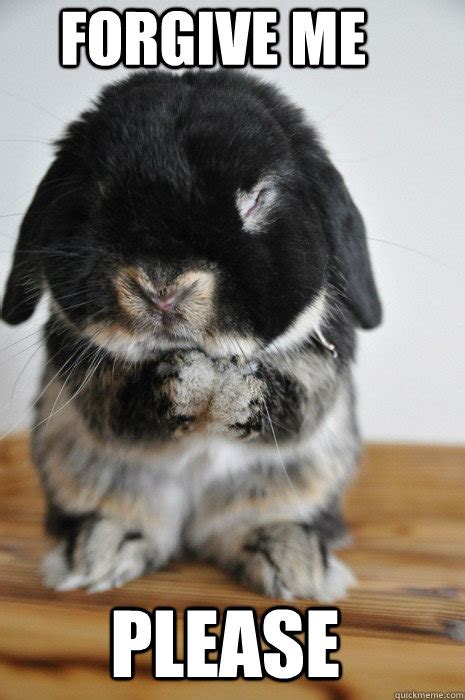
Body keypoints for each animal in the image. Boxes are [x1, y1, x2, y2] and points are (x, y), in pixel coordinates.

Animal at [1, 70, 381, 599]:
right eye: (97, 198)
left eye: (257, 199)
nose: (162, 289)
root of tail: (191, 527)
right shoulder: (82, 366)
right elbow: (121, 402)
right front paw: (195, 383)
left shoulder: (321, 365)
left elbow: (292, 400)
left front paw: (226, 389)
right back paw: (100, 554)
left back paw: (296, 566)